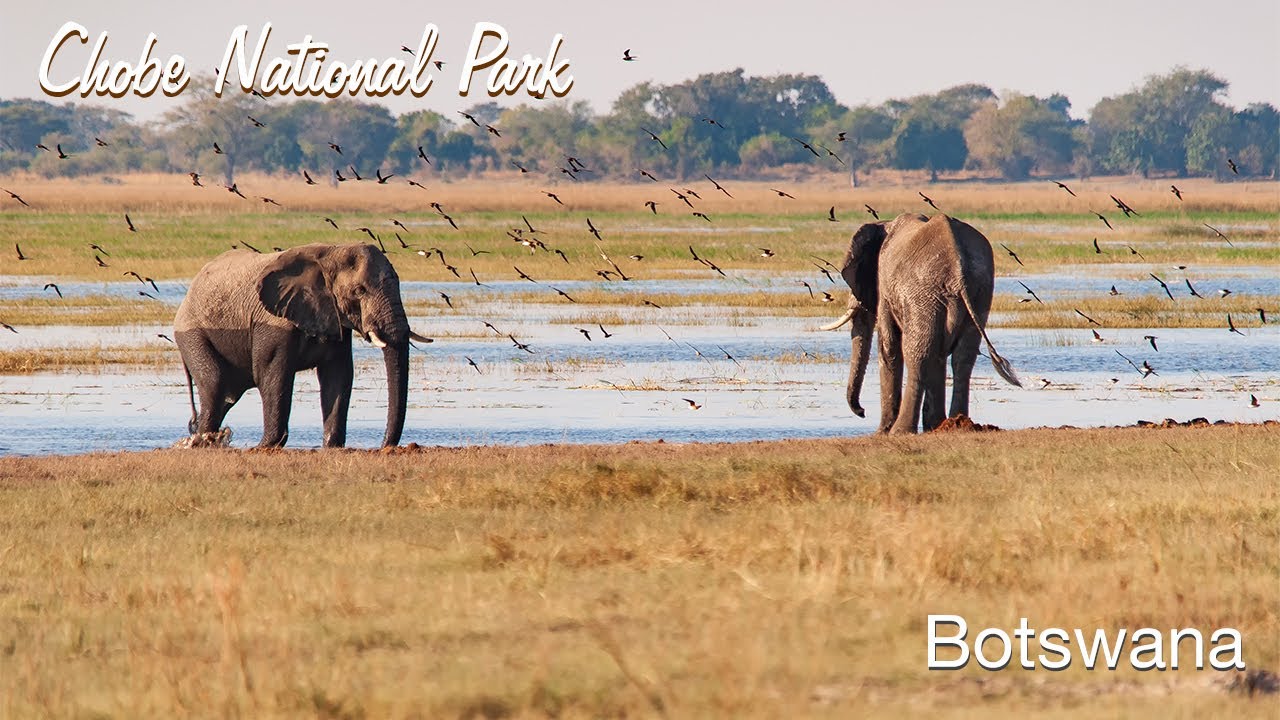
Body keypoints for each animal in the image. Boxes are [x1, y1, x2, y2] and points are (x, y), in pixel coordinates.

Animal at [174, 242, 430, 448]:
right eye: (359, 291)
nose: (384, 446)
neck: (331, 253)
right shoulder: (273, 323)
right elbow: (272, 375)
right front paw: (266, 446)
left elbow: (338, 376)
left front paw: (332, 446)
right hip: (192, 334)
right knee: (215, 383)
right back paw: (201, 441)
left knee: (227, 395)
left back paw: (201, 436)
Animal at [820, 213, 1020, 433]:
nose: (862, 412)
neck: (885, 224)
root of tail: (958, 270)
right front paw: (934, 425)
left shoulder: (885, 288)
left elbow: (889, 348)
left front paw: (882, 432)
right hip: (978, 293)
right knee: (962, 357)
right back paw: (957, 425)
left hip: (922, 294)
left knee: (918, 354)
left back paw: (900, 431)